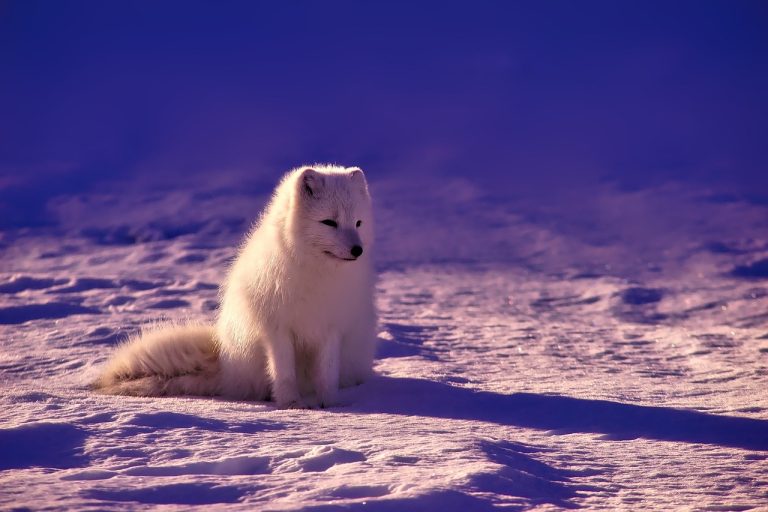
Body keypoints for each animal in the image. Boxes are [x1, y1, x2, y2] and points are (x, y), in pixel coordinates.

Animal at [93, 165, 377, 408]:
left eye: (358, 223)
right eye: (329, 222)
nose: (357, 250)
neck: (317, 273)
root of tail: (225, 364)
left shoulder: (332, 327)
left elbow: (327, 373)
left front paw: (330, 404)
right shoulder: (277, 328)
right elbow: (284, 372)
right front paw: (292, 404)